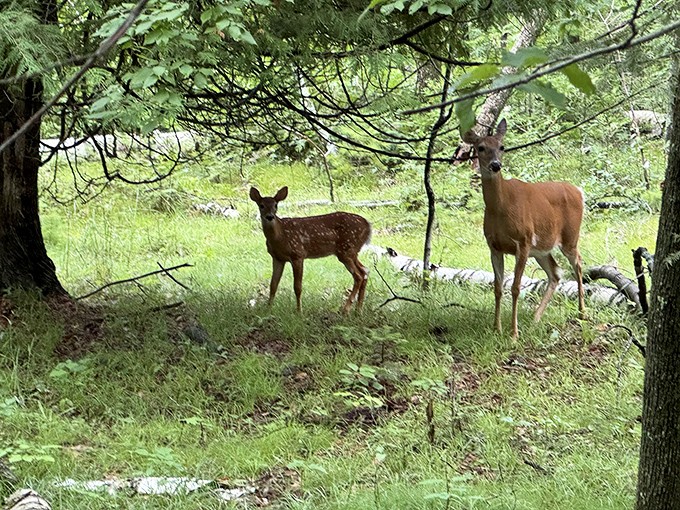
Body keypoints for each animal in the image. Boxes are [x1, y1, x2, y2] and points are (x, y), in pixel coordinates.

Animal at [462, 119, 586, 339]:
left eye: (502, 147)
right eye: (481, 147)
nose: (496, 165)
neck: (500, 207)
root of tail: (579, 192)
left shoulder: (523, 241)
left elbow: (515, 287)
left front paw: (513, 333)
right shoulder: (494, 246)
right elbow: (498, 287)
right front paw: (496, 329)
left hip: (569, 237)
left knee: (578, 264)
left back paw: (582, 313)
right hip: (541, 248)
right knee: (556, 272)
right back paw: (536, 318)